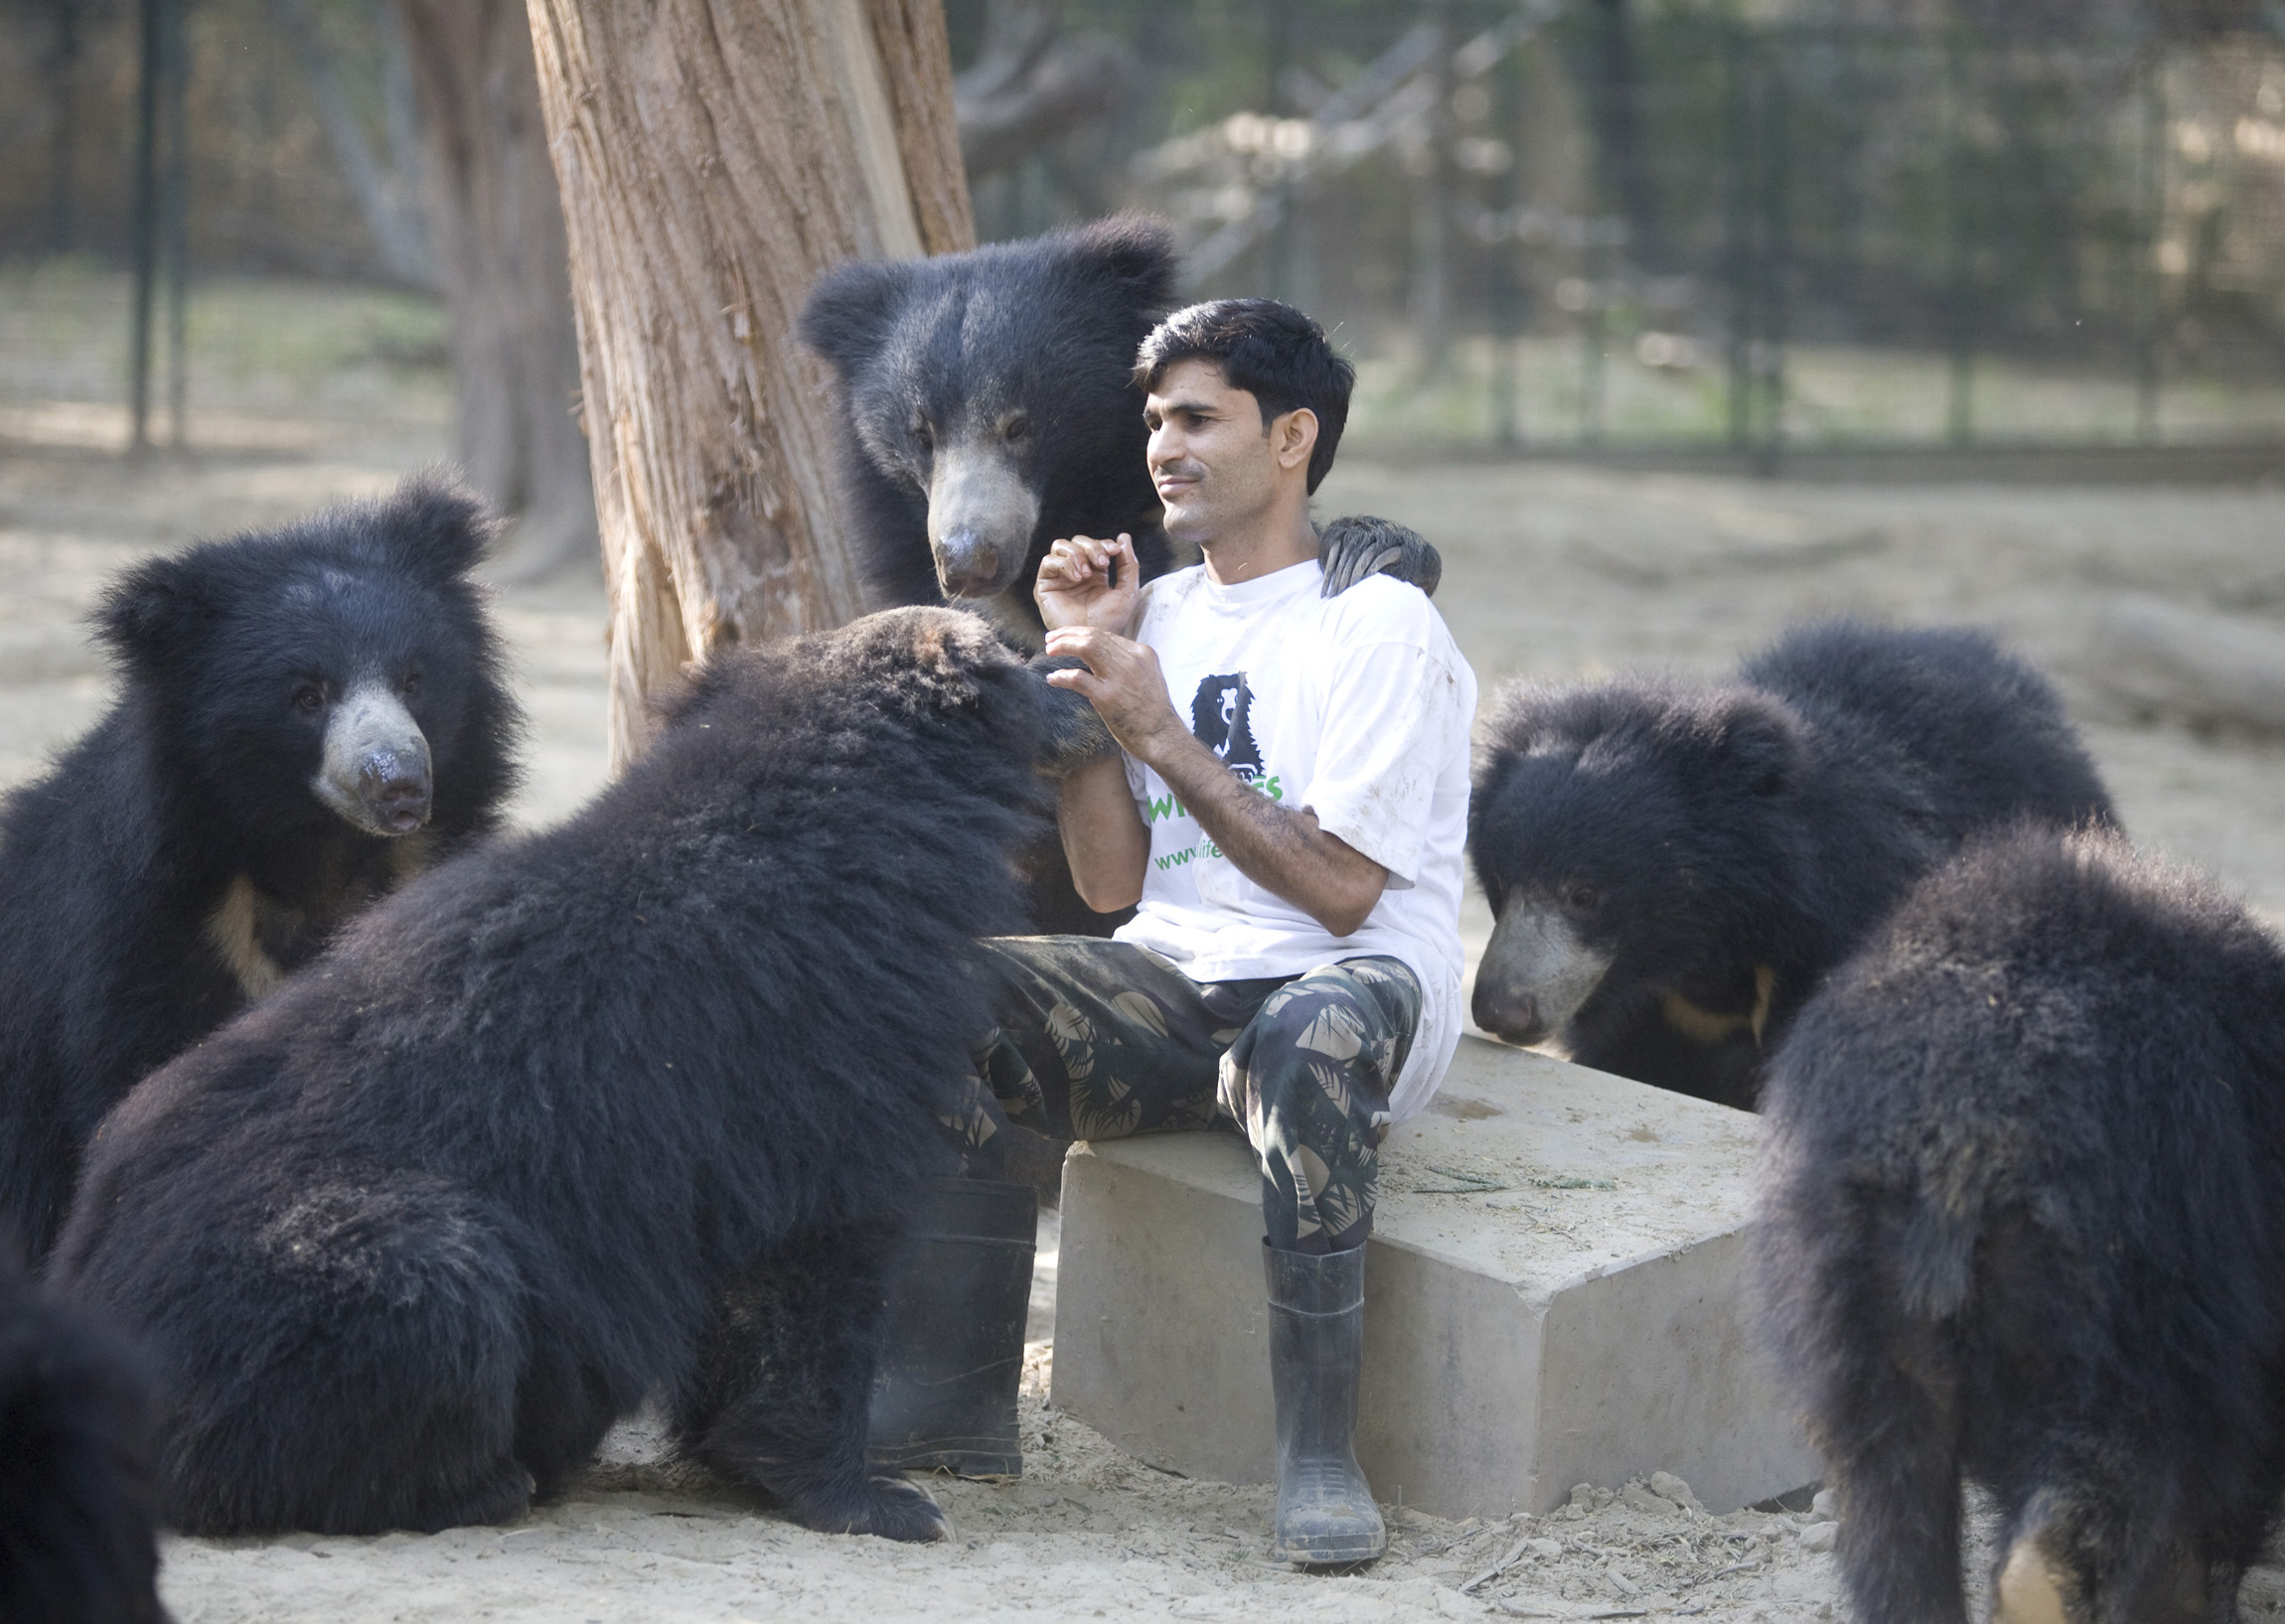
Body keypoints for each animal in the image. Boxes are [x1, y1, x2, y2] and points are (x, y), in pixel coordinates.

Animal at [49, 607, 1050, 1542]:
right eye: (1020, 655)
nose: (1070, 680)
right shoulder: (821, 1055)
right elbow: (815, 1268)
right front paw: (882, 1501)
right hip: (338, 1284)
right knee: (432, 1303)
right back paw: (481, 1482)